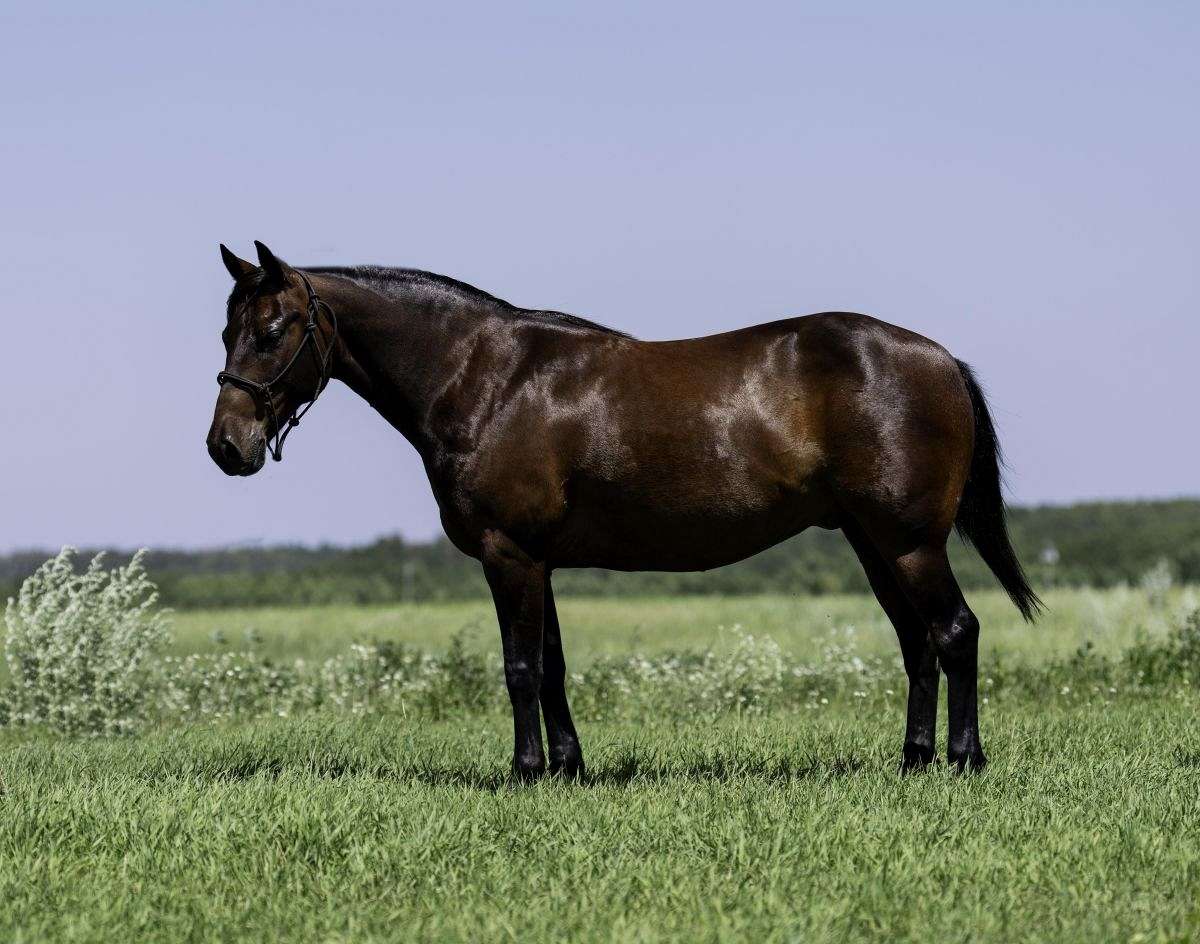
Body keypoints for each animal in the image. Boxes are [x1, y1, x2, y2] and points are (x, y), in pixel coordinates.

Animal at [208, 240, 1040, 778]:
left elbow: (518, 668)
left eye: (273, 330)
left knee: (955, 631)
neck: (487, 379)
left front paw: (526, 772)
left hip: (909, 543)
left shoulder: (509, 554)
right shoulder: (537, 560)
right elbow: (551, 667)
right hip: (873, 544)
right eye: (226, 329)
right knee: (918, 642)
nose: (226, 446)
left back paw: (963, 761)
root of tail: (940, 360)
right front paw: (568, 770)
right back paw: (914, 761)